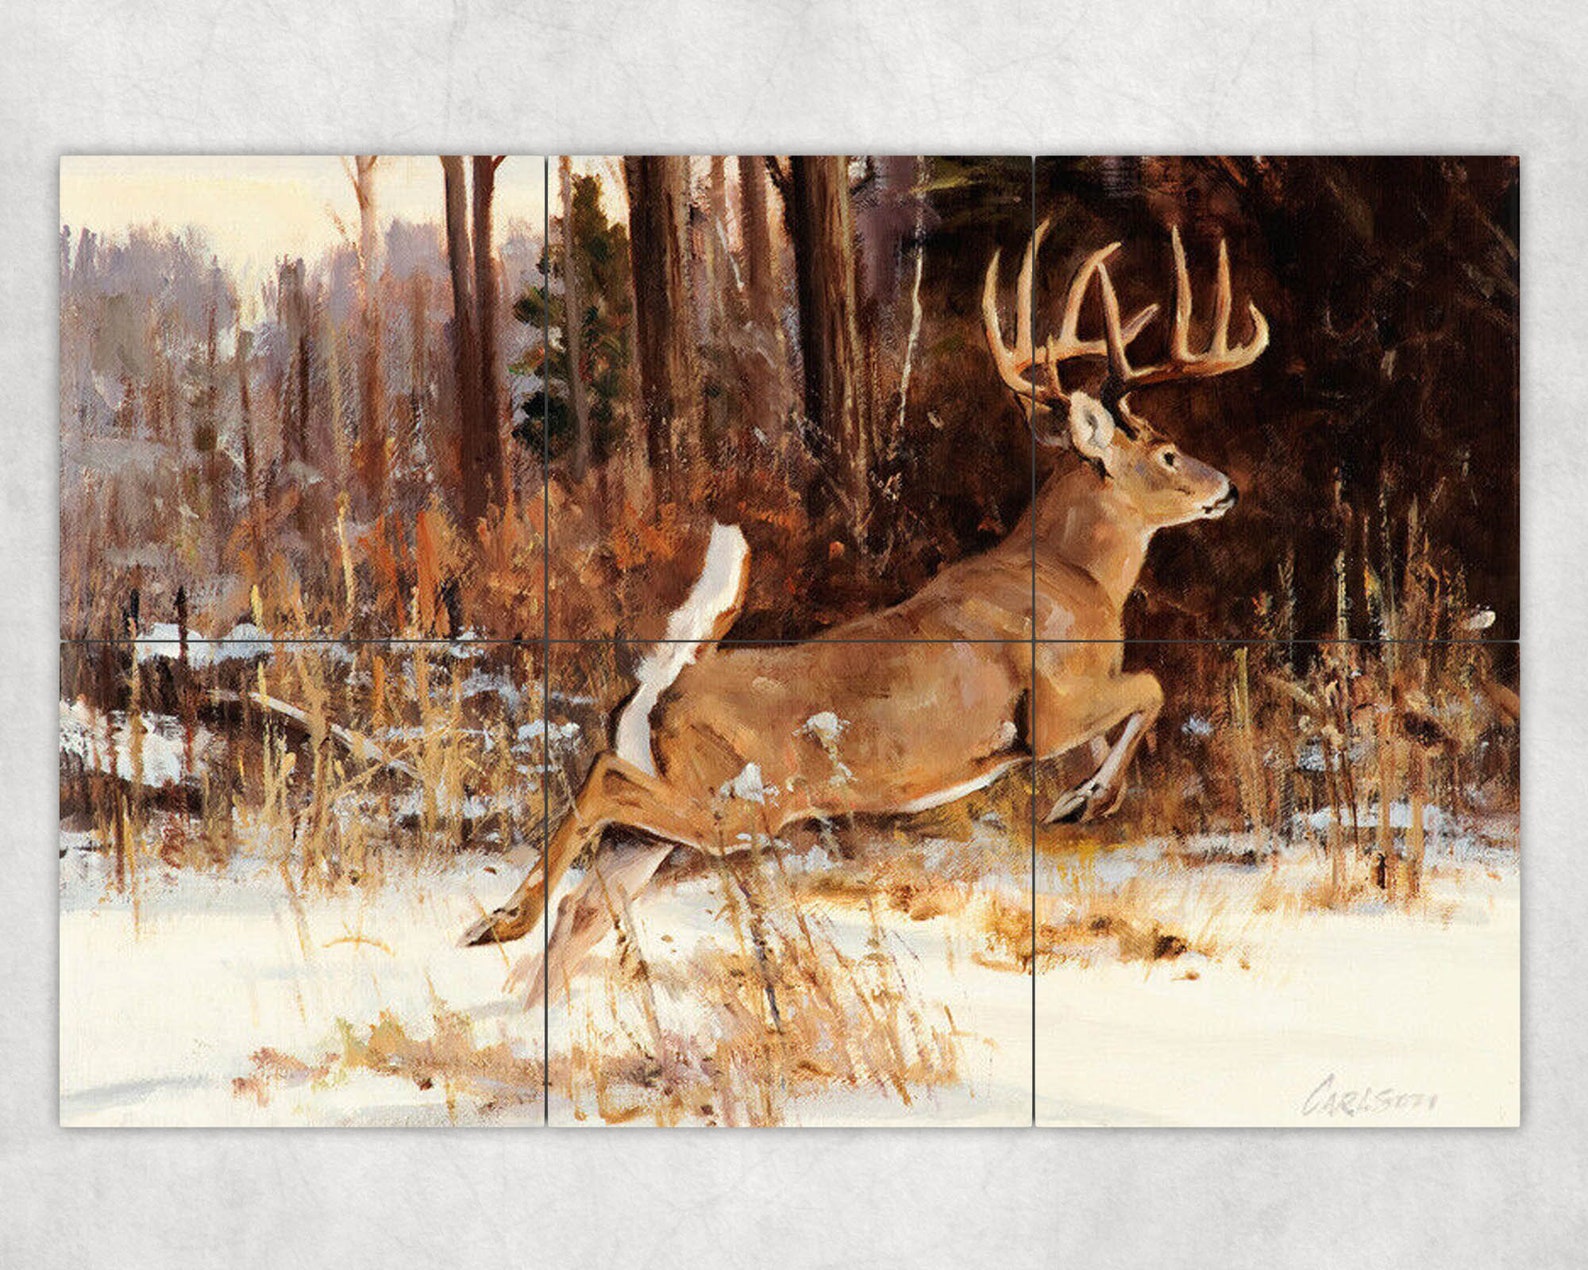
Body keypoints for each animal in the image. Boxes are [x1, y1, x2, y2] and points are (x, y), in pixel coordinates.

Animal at [462, 220, 1269, 1005]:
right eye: (1167, 453)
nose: (1227, 487)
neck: (1079, 579)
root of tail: (661, 688)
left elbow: (1125, 728)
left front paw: (1085, 796)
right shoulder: (1052, 709)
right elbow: (1151, 688)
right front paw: (1084, 799)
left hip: (665, 832)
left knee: (582, 907)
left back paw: (513, 963)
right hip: (741, 801)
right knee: (601, 785)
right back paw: (502, 920)